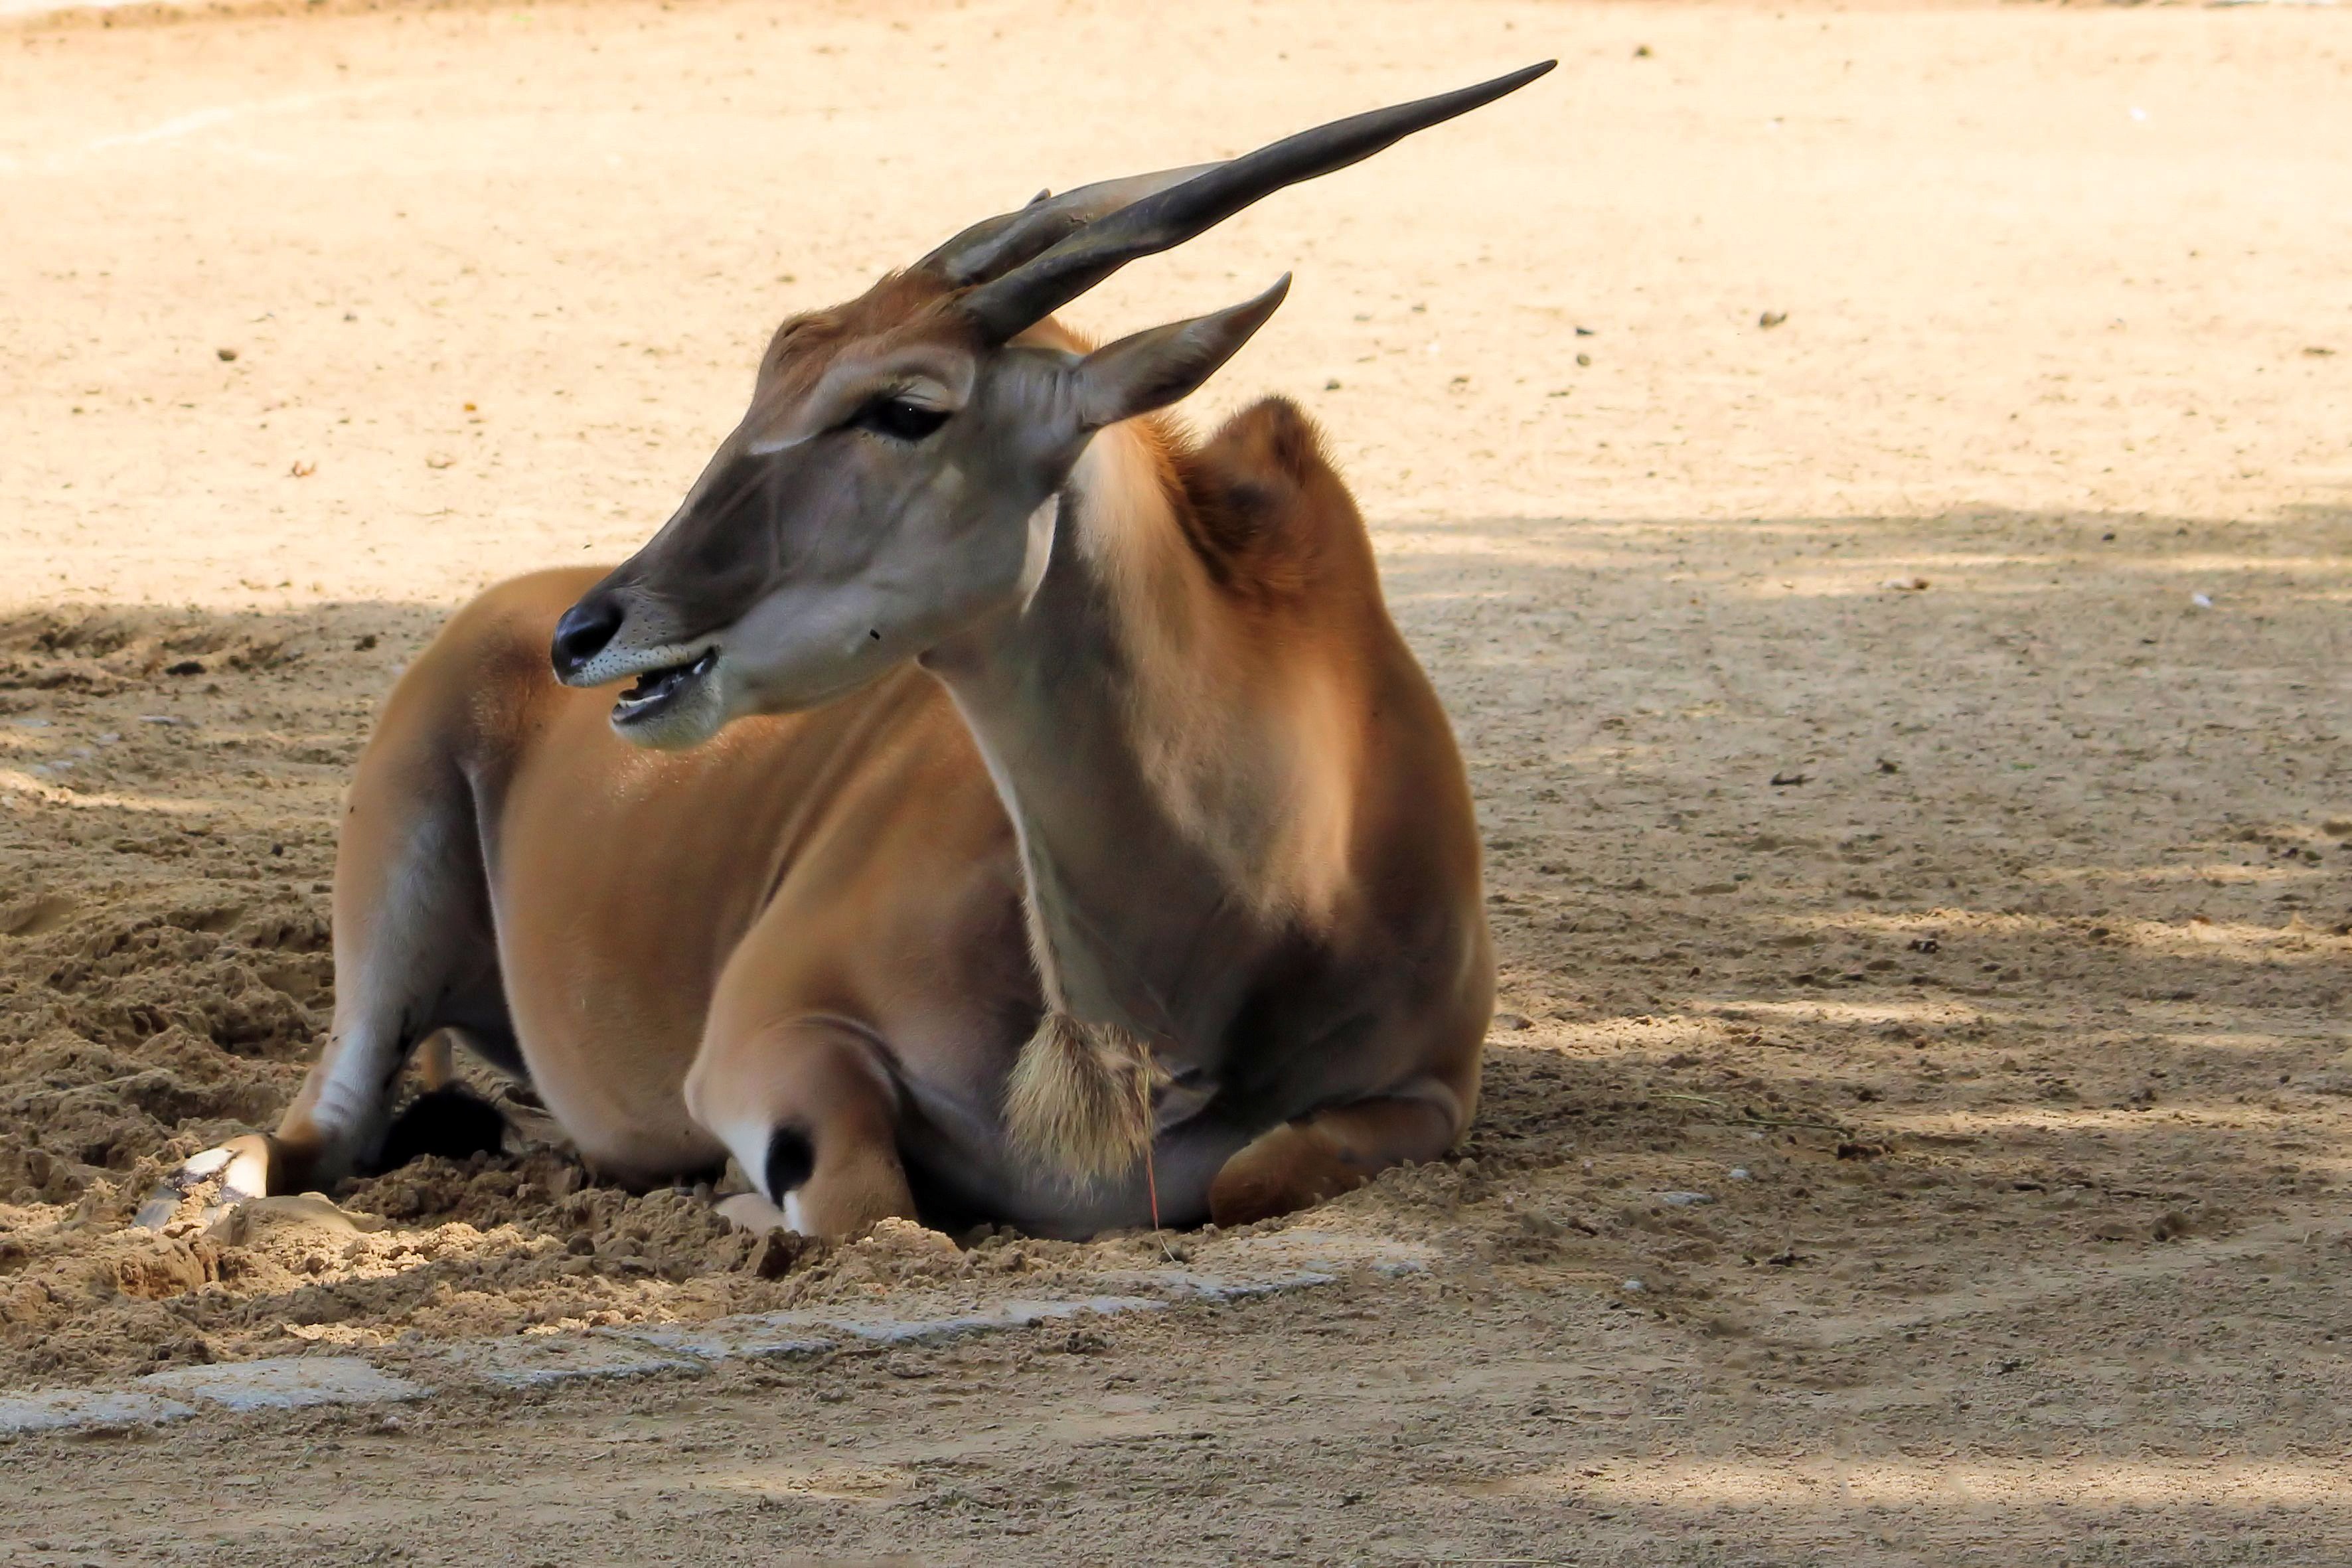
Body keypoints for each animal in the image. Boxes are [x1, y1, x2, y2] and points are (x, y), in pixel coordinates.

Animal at [140, 64, 1550, 1241]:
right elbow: (864, 1200)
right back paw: (206, 1187)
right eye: (770, 372)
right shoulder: (765, 1034)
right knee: (321, 1125)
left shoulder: (1431, 1086)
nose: (588, 632)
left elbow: (1260, 1170)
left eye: (905, 407)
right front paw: (738, 1199)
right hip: (386, 899)